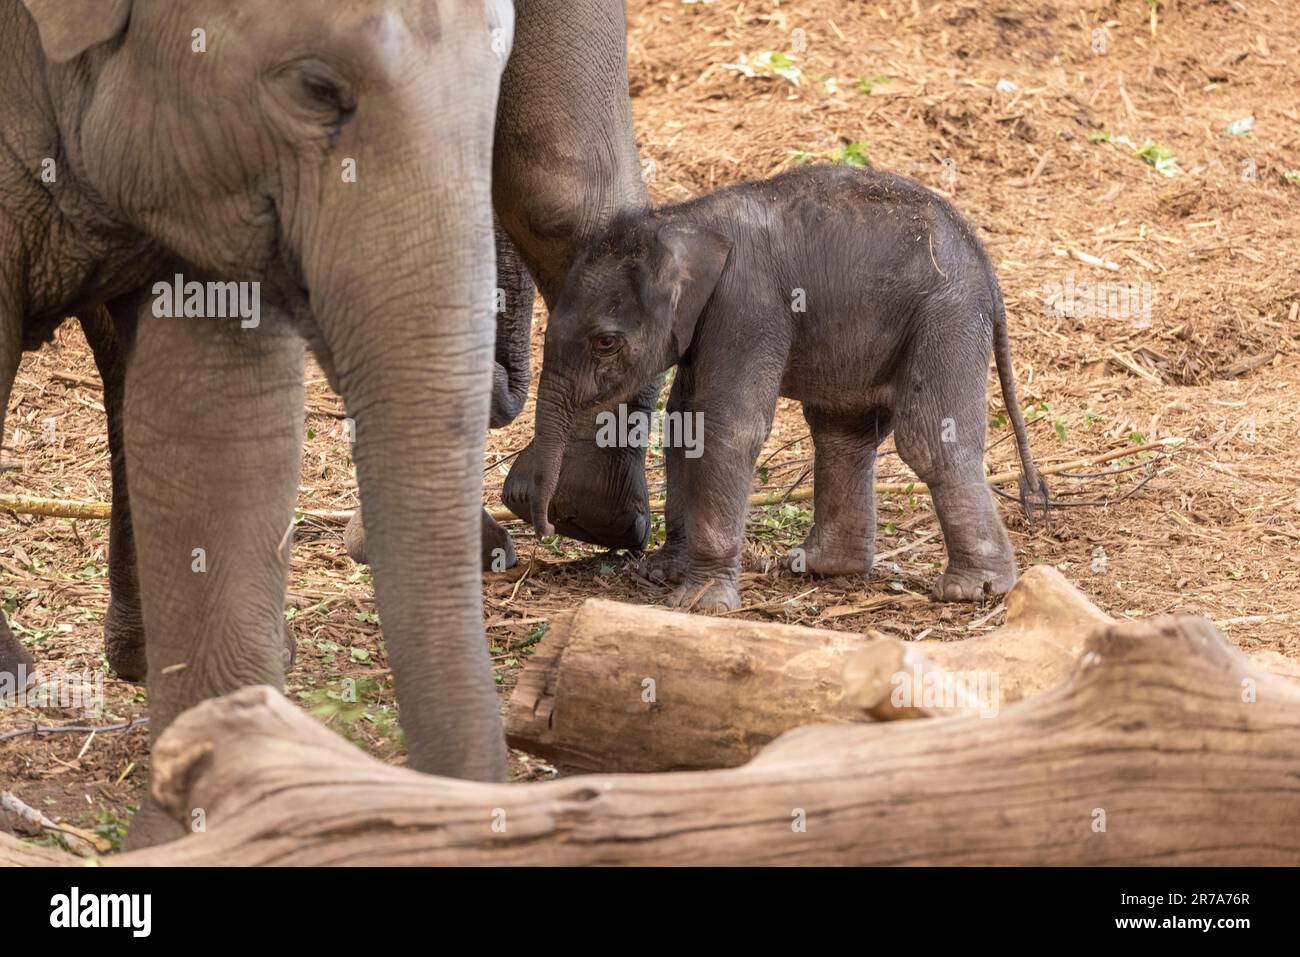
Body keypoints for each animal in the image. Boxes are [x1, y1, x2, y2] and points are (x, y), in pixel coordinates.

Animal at [526, 164, 1050, 613]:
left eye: (606, 342)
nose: (547, 524)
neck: (684, 220)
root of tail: (988, 269)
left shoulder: (748, 303)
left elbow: (728, 427)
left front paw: (699, 603)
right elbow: (685, 422)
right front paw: (663, 573)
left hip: (947, 315)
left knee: (929, 441)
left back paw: (972, 590)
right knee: (842, 432)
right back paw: (819, 566)